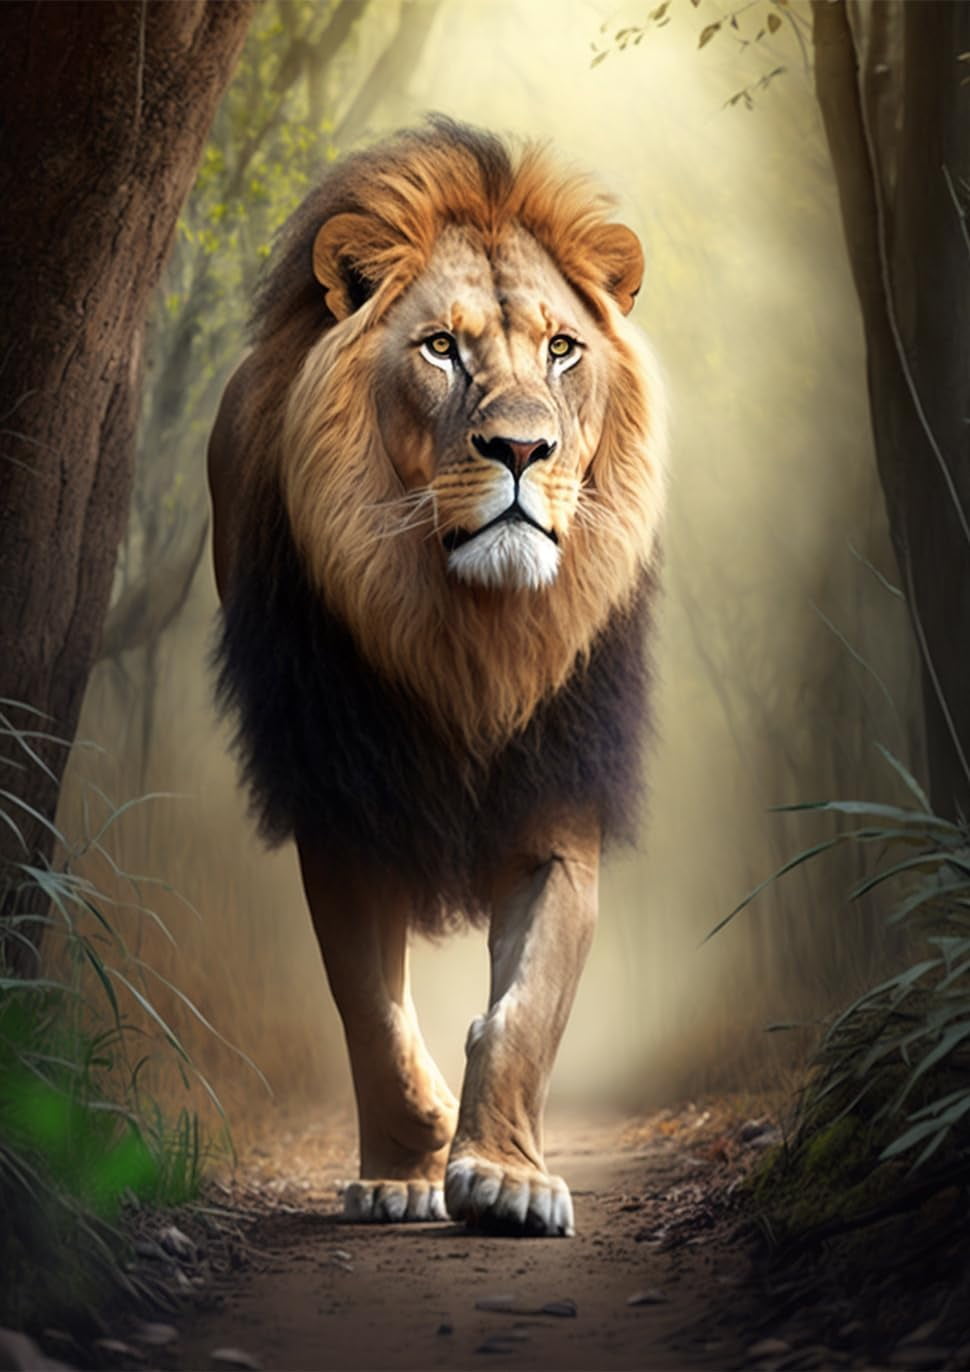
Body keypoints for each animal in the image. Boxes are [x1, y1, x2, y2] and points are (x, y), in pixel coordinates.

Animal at [208, 117, 666, 1237]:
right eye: (441, 347)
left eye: (560, 348)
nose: (521, 447)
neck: (469, 635)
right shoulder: (341, 807)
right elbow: (372, 1014)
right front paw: (399, 1172)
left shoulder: (556, 807)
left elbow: (526, 1013)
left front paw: (505, 1178)